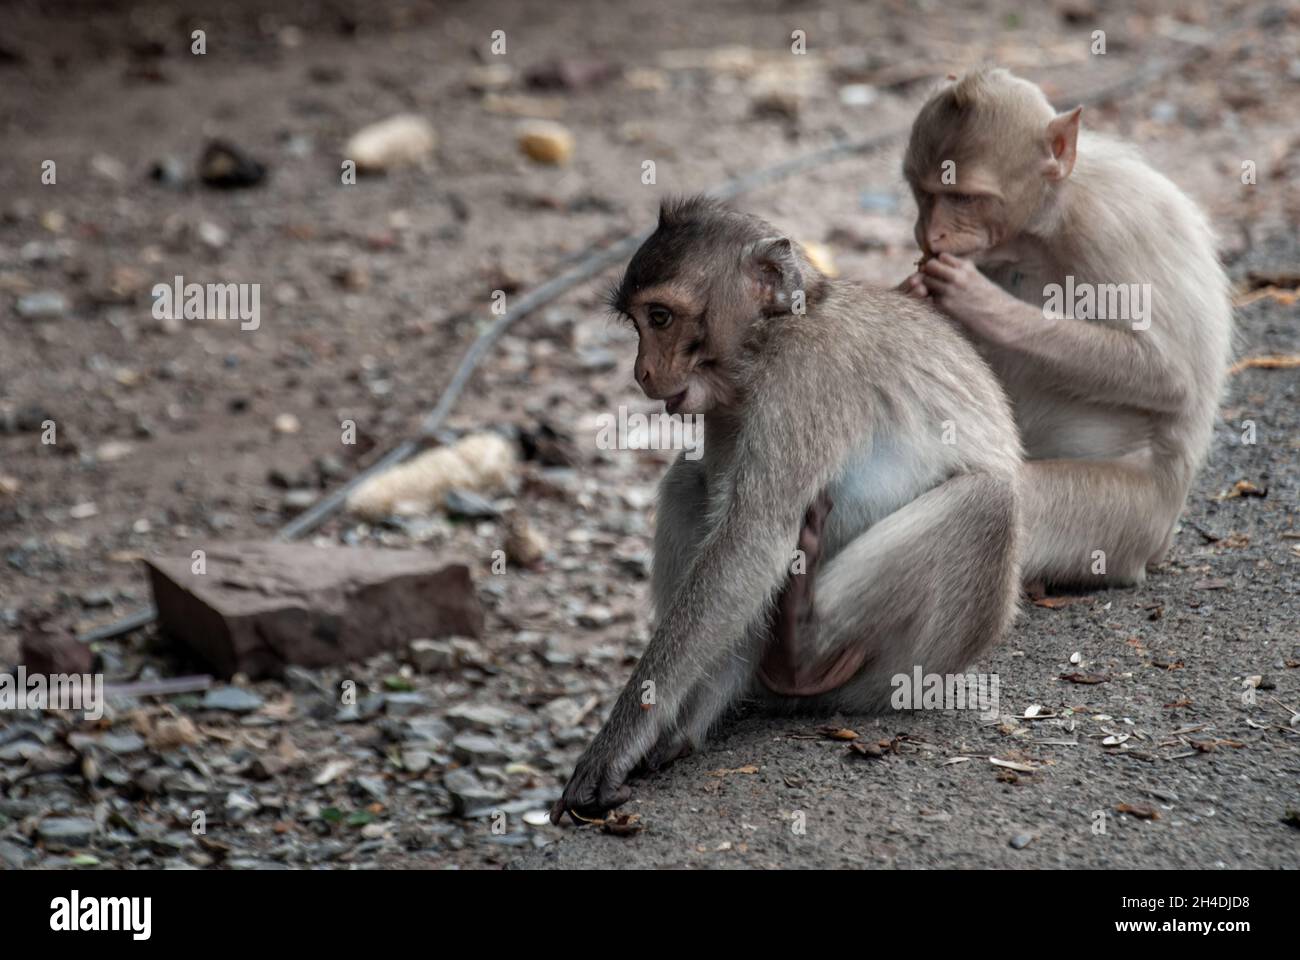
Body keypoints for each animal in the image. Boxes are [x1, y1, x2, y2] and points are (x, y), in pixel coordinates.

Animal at [551, 197, 1022, 823]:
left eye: (661, 317)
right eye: (639, 323)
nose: (642, 372)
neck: (773, 333)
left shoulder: (801, 376)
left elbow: (752, 541)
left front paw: (617, 744)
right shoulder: (725, 408)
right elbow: (736, 540)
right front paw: (668, 731)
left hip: (903, 672)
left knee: (988, 503)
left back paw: (800, 657)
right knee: (686, 480)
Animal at [899, 68, 1233, 591]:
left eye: (964, 197)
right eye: (923, 191)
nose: (929, 235)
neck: (1040, 225)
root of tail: (1161, 543)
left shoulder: (1108, 228)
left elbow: (1171, 376)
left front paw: (977, 300)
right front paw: (914, 289)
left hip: (1130, 521)